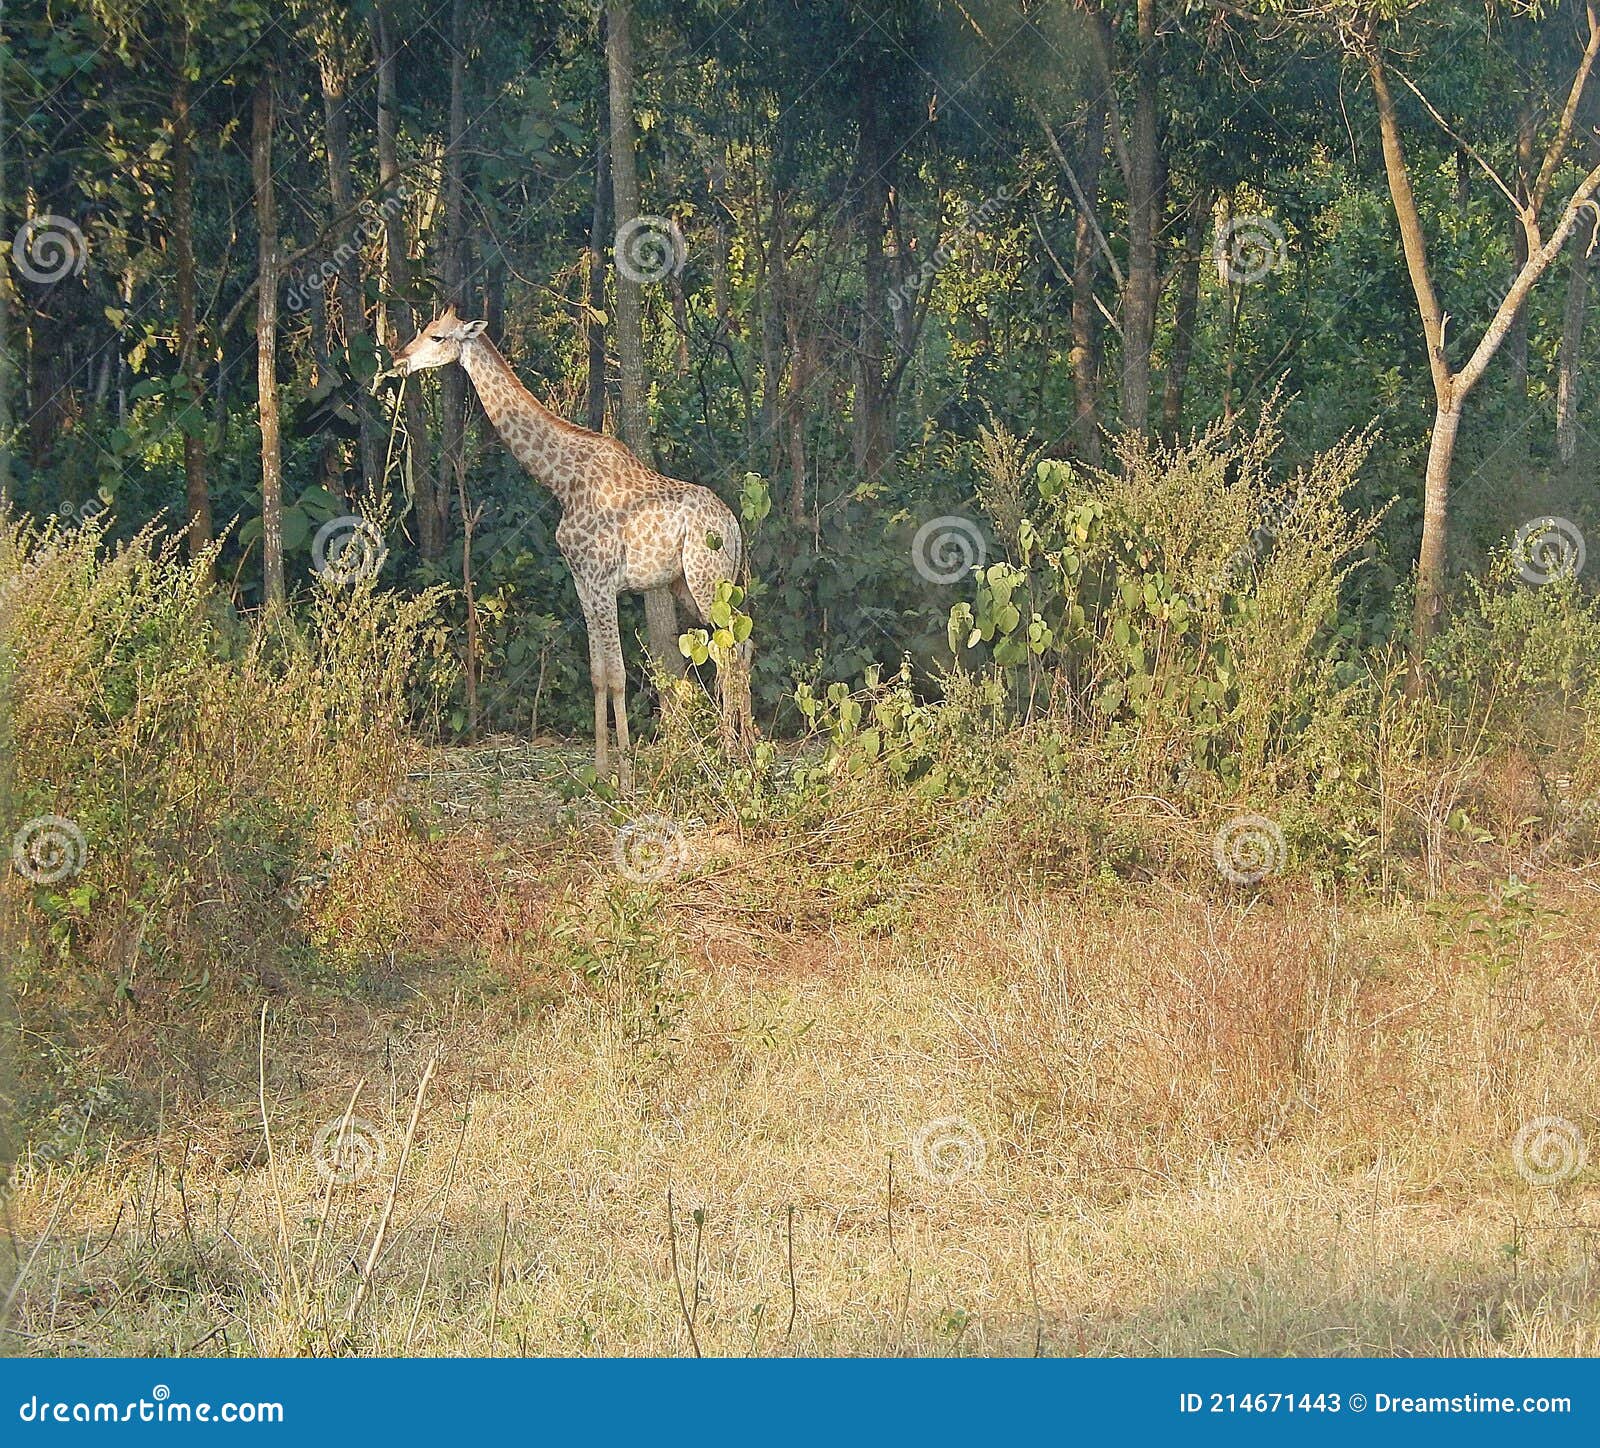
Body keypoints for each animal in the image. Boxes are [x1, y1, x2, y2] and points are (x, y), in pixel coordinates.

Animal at [387, 306, 748, 789]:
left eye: (437, 337)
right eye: (422, 331)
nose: (398, 359)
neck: (562, 480)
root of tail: (734, 526)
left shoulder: (603, 582)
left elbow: (618, 674)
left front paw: (626, 778)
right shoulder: (583, 583)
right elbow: (598, 674)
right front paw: (600, 771)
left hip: (706, 580)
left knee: (730, 649)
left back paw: (729, 754)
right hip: (687, 586)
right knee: (740, 645)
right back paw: (743, 749)